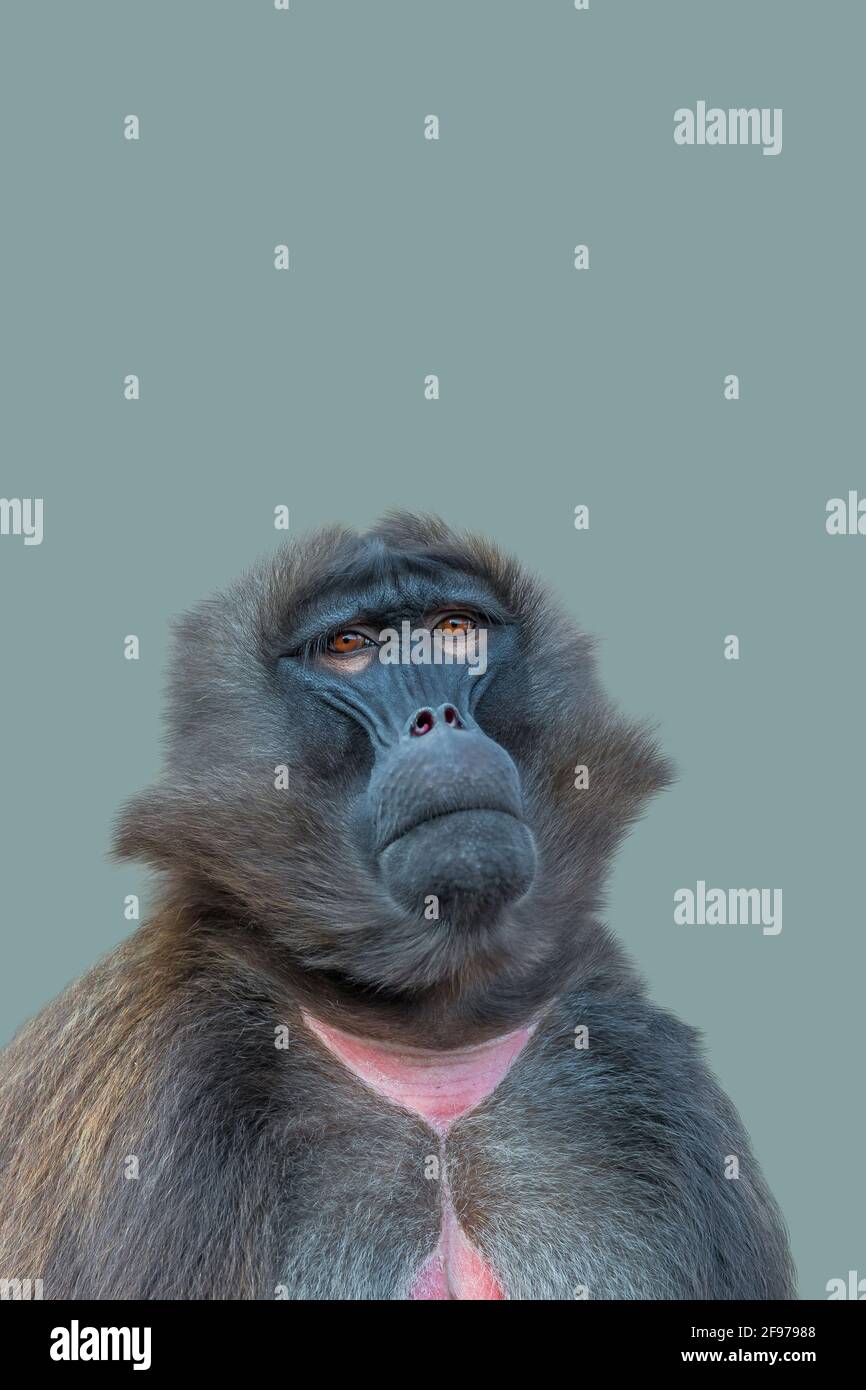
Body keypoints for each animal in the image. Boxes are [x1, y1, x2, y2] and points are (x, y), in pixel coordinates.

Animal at [0, 512, 796, 1300]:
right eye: (349, 647)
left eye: (454, 629)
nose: (435, 719)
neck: (430, 1050)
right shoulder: (177, 1097)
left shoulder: (644, 1067)